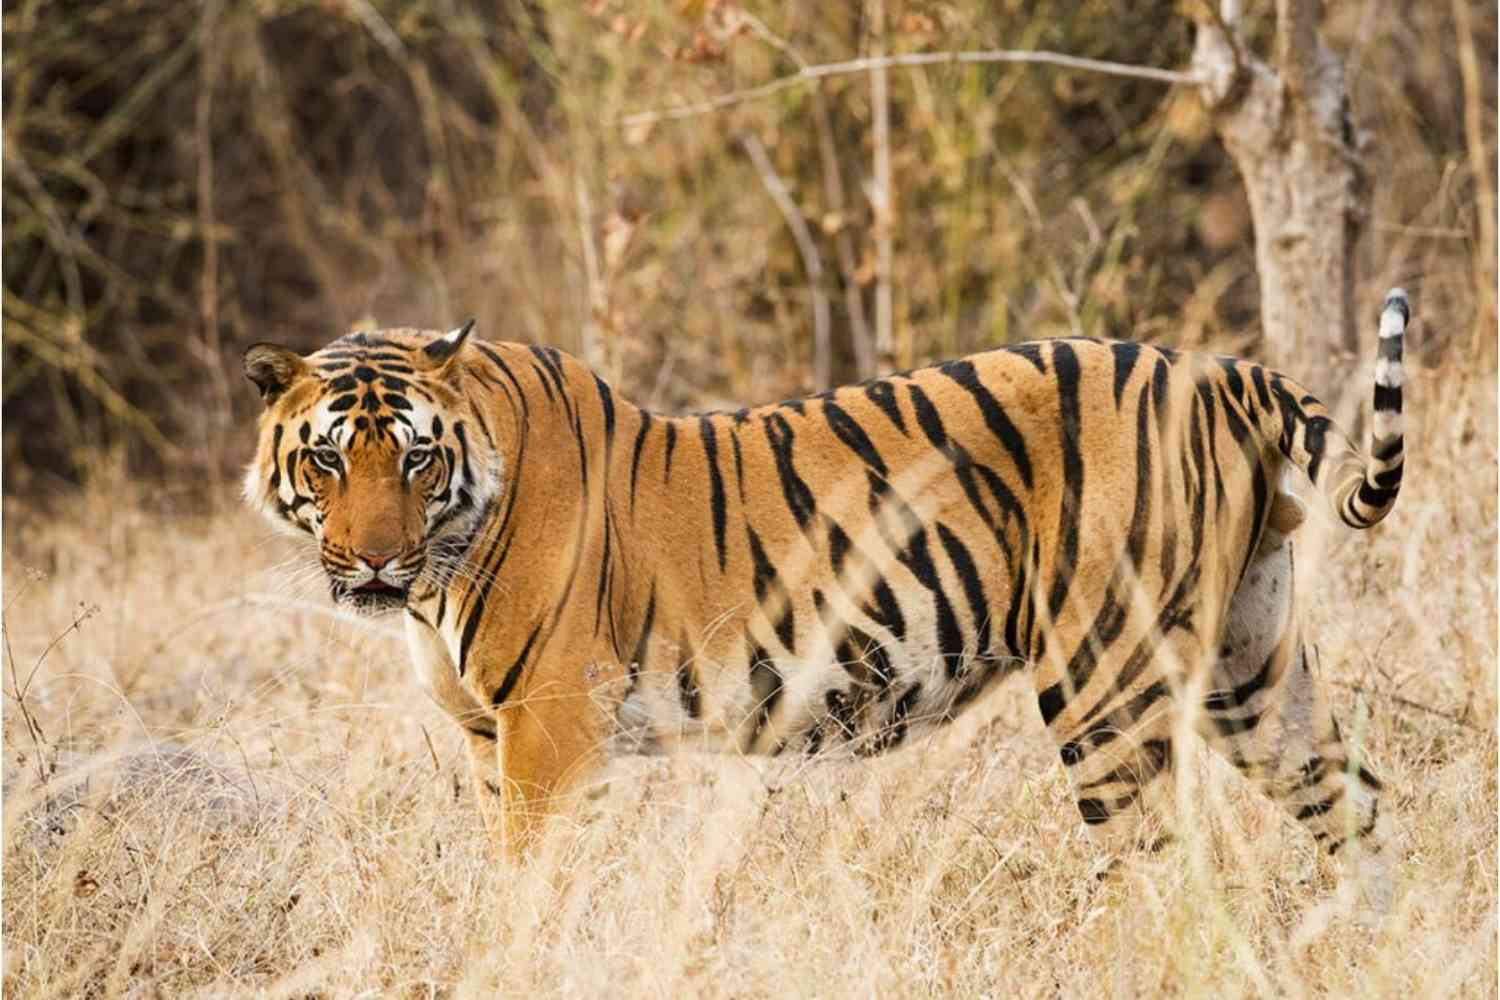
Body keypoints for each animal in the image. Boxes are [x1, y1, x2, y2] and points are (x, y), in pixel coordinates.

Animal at [242, 288, 1408, 866]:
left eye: (415, 459)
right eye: (329, 460)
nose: (376, 558)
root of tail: (1218, 371)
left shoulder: (549, 727)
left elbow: (526, 889)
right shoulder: (492, 738)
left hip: (1103, 679)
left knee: (1156, 866)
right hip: (1251, 662)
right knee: (1356, 804)